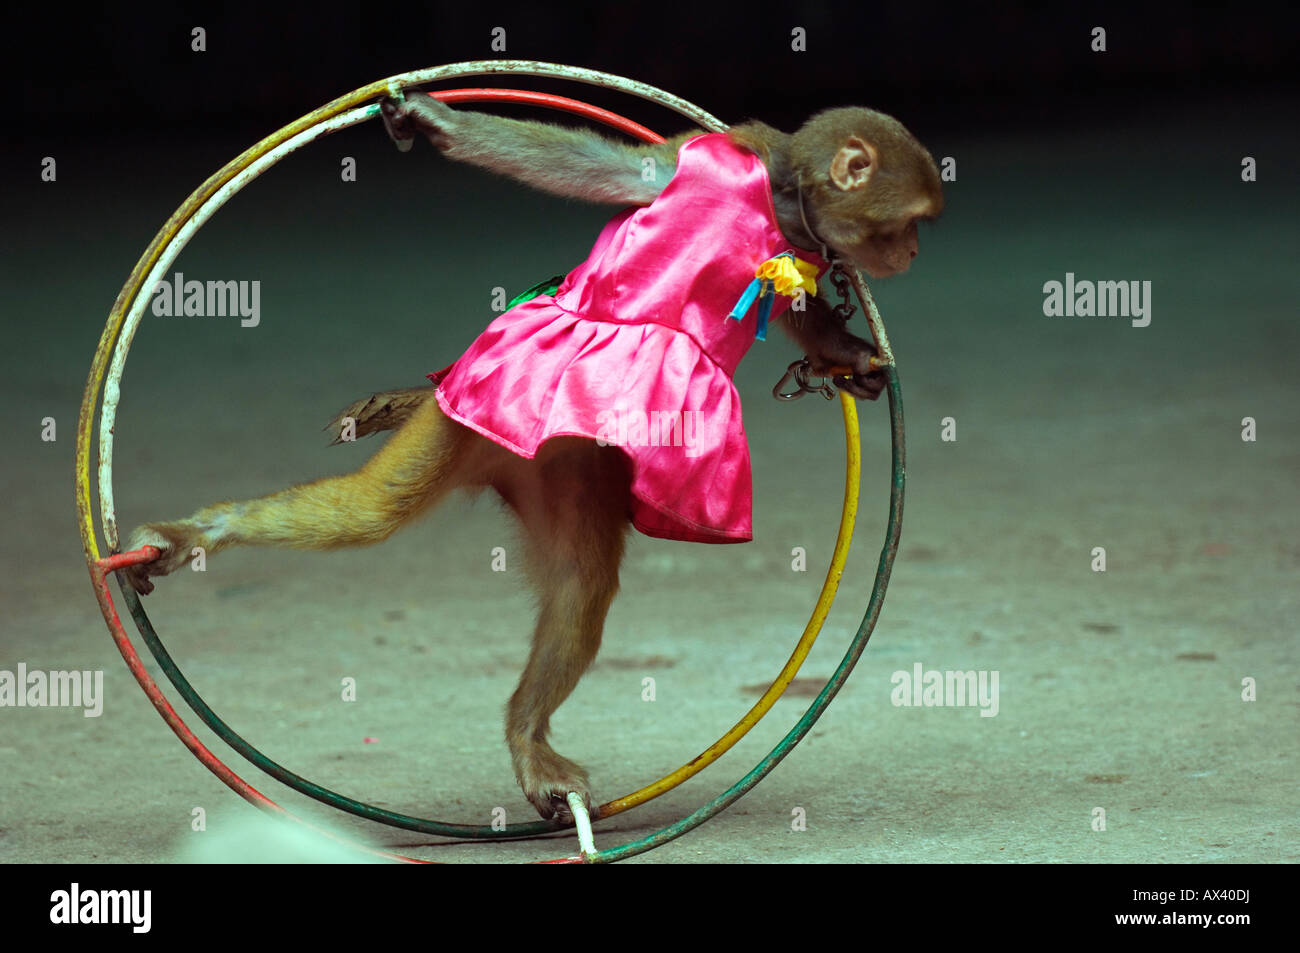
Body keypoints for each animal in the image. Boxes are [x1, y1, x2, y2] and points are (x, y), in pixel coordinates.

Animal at [123, 92, 943, 822]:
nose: (911, 253)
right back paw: (196, 534)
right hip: (460, 420)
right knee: (370, 512)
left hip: (564, 478)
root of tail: (494, 458)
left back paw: (527, 734)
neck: (779, 205)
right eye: (910, 225)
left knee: (581, 582)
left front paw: (850, 361)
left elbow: (800, 309)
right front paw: (434, 120)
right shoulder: (705, 154)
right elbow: (612, 171)